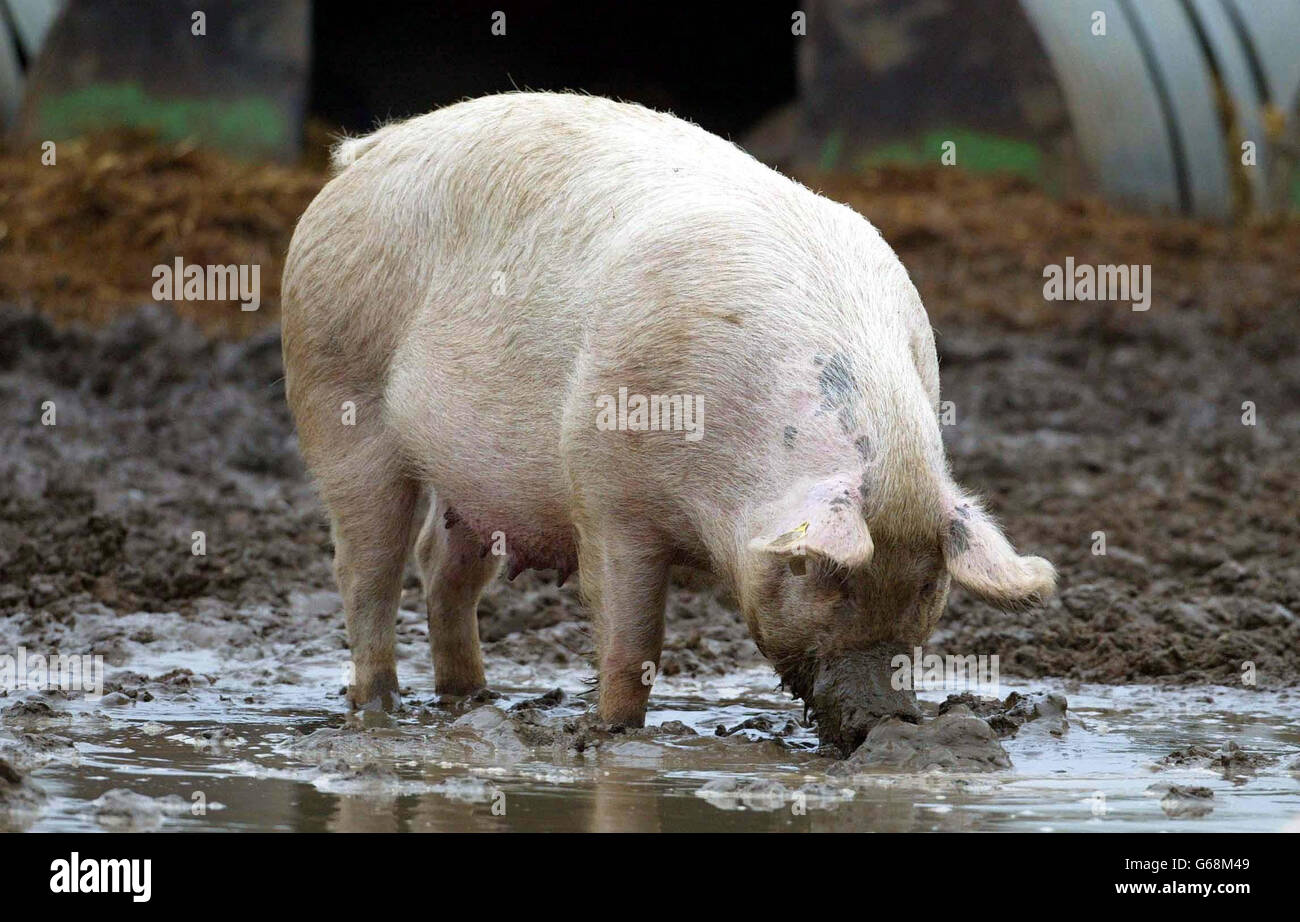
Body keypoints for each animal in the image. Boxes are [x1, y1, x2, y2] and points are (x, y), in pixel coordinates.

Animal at [280, 92, 1056, 755]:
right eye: (829, 578)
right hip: (336, 393)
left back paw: (471, 700)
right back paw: (379, 709)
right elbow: (631, 640)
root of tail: (366, 151)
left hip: (472, 479)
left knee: (444, 570)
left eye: (928, 588)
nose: (884, 721)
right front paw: (613, 734)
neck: (716, 498)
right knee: (367, 571)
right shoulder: (606, 495)